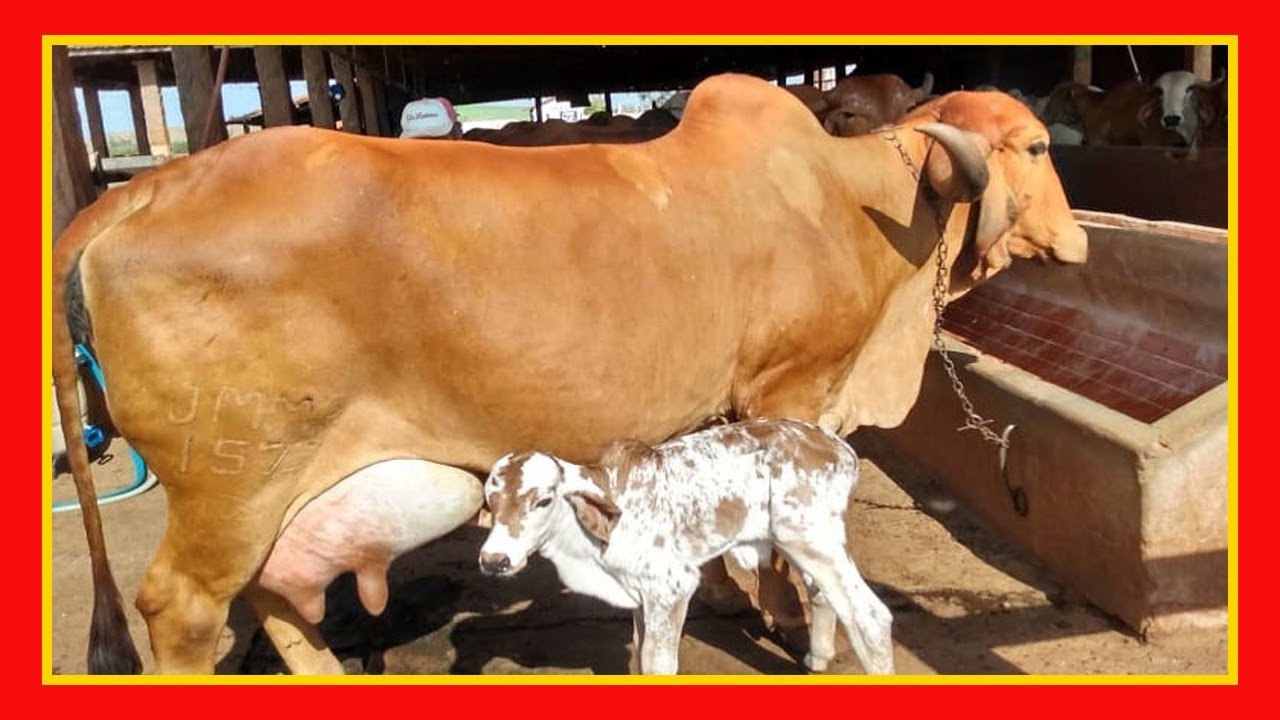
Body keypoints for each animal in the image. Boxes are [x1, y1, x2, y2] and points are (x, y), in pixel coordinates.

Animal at [478, 418, 895, 675]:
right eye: (491, 501)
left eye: (543, 501)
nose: (495, 560)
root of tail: (838, 447)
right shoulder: (640, 595)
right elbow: (640, 655)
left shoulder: (672, 586)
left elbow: (657, 663)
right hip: (808, 543)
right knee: (824, 594)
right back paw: (816, 658)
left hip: (810, 538)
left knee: (870, 615)